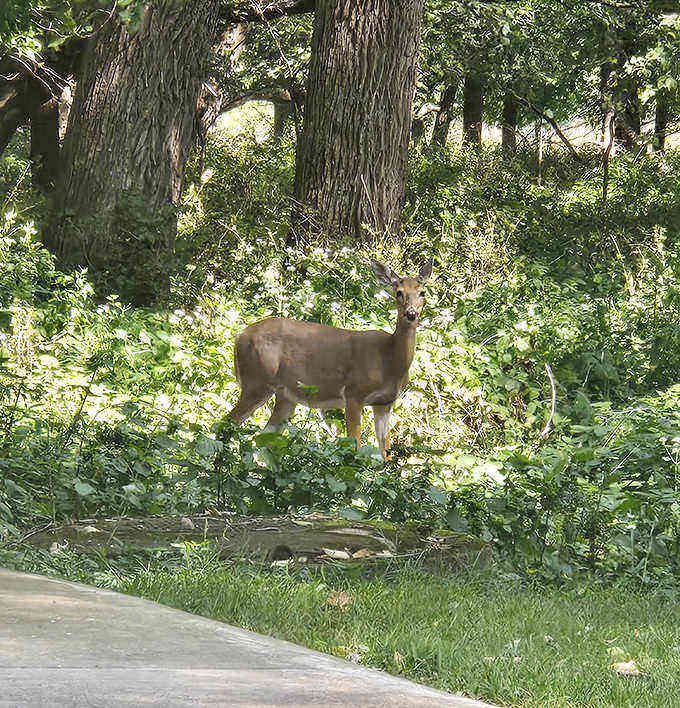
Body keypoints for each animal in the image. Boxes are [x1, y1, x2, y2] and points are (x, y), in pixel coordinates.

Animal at [227, 258, 433, 458]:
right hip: (256, 380)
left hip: (284, 396)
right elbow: (354, 446)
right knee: (228, 422)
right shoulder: (353, 392)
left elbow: (385, 453)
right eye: (398, 292)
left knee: (264, 439)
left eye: (422, 292)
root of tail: (239, 336)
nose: (411, 313)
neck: (389, 360)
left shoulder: (384, 403)